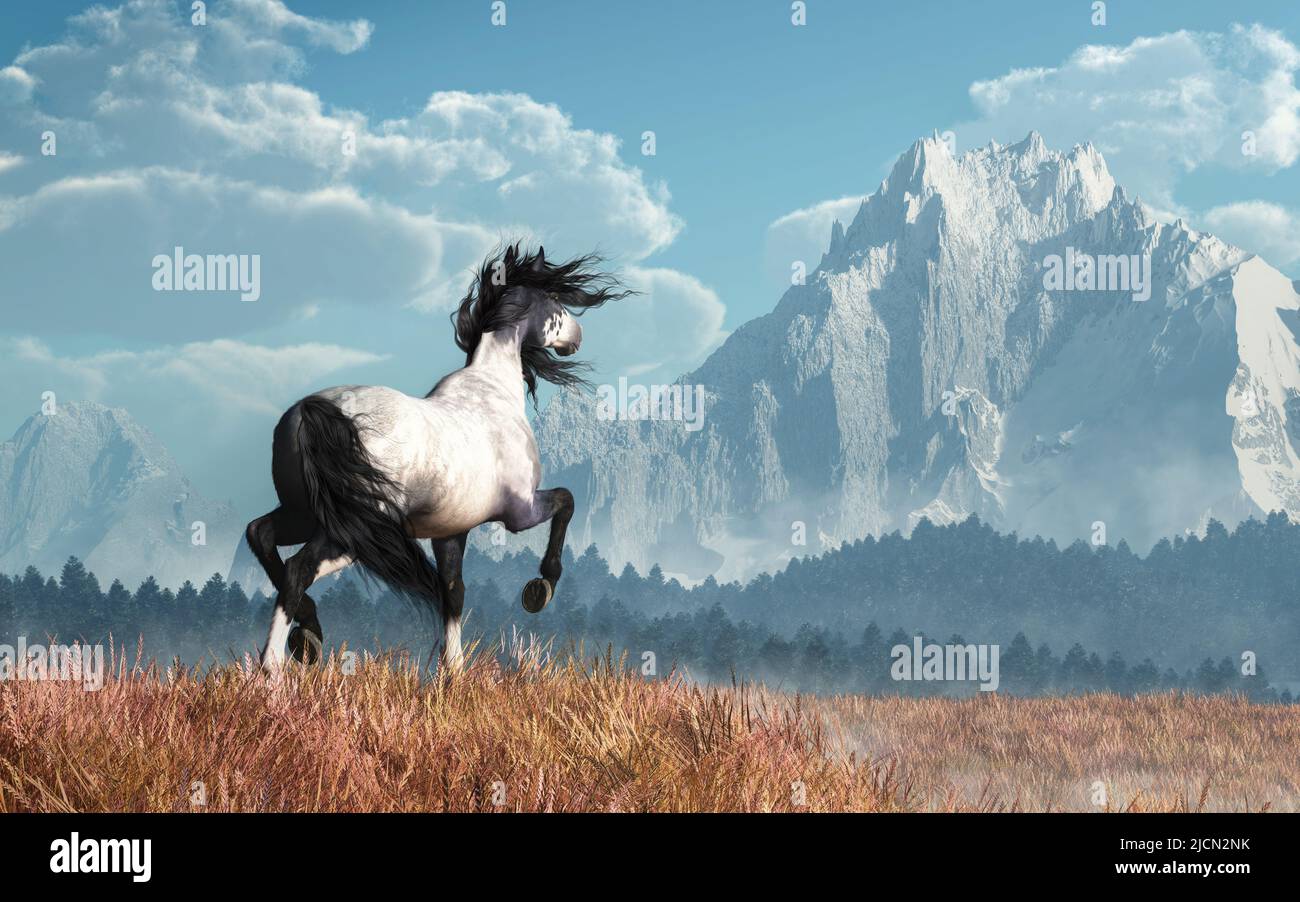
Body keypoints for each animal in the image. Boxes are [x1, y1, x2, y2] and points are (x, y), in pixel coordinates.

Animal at [244, 244, 630, 673]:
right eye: (555, 300)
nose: (576, 336)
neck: (492, 392)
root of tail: (310, 412)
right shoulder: (521, 511)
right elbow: (566, 501)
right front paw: (541, 586)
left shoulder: (451, 532)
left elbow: (453, 592)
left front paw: (454, 671)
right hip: (351, 531)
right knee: (298, 569)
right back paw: (273, 669)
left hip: (305, 513)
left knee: (261, 535)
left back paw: (307, 633)